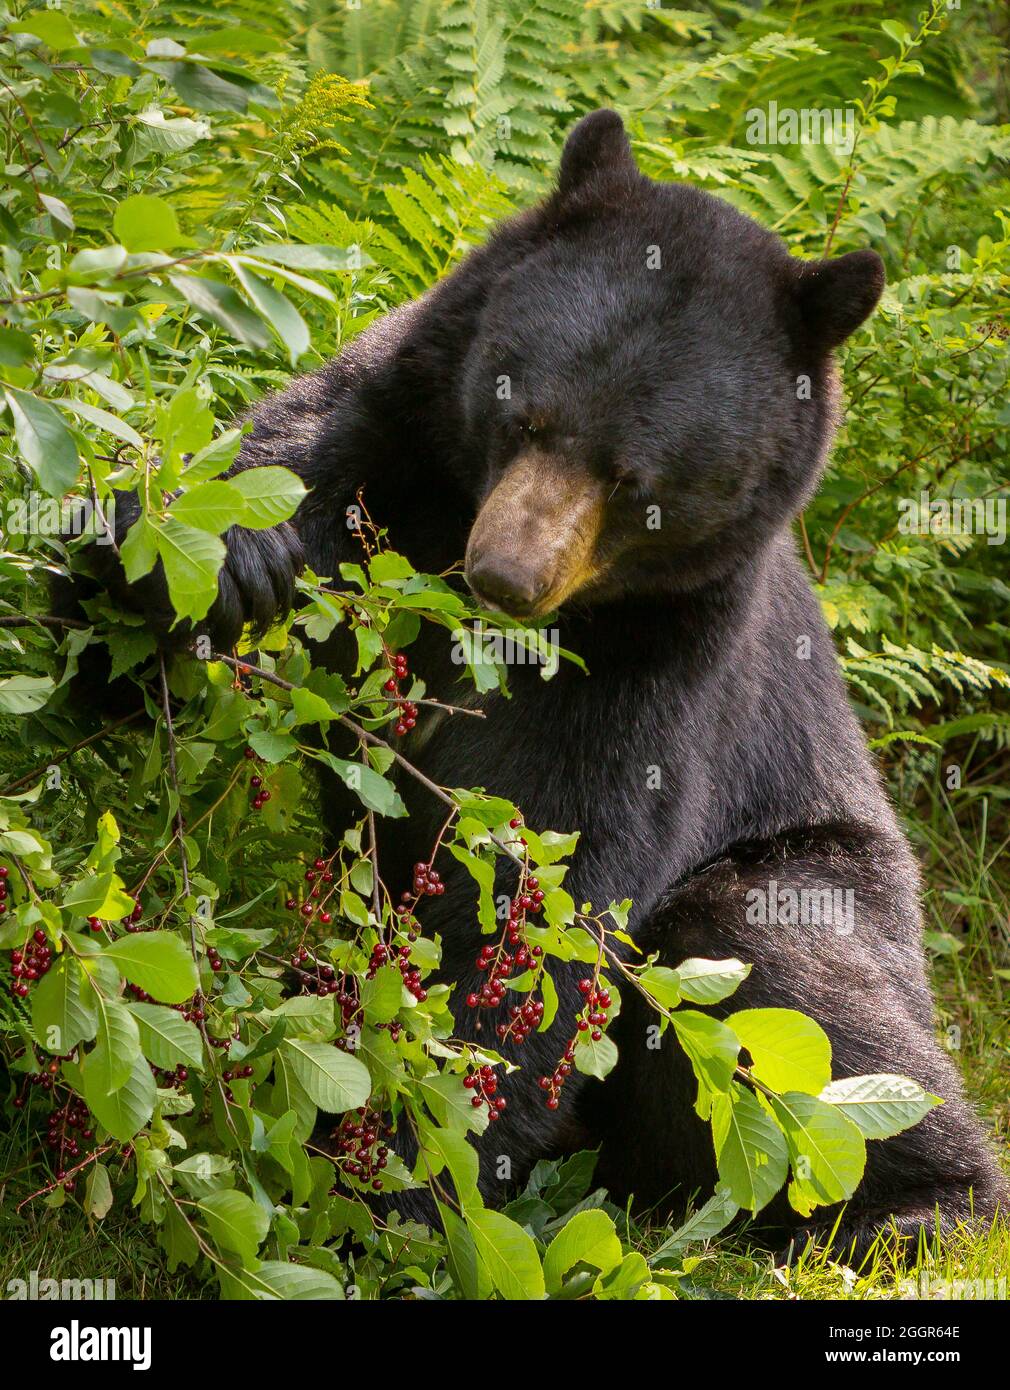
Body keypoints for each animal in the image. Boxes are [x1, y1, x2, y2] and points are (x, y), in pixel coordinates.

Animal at [67, 109, 1006, 1254]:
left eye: (638, 482)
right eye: (520, 413)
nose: (504, 576)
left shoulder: (660, 666)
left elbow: (538, 879)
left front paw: (401, 1184)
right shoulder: (390, 434)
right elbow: (258, 479)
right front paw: (218, 558)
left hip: (833, 879)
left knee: (798, 998)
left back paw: (921, 1210)